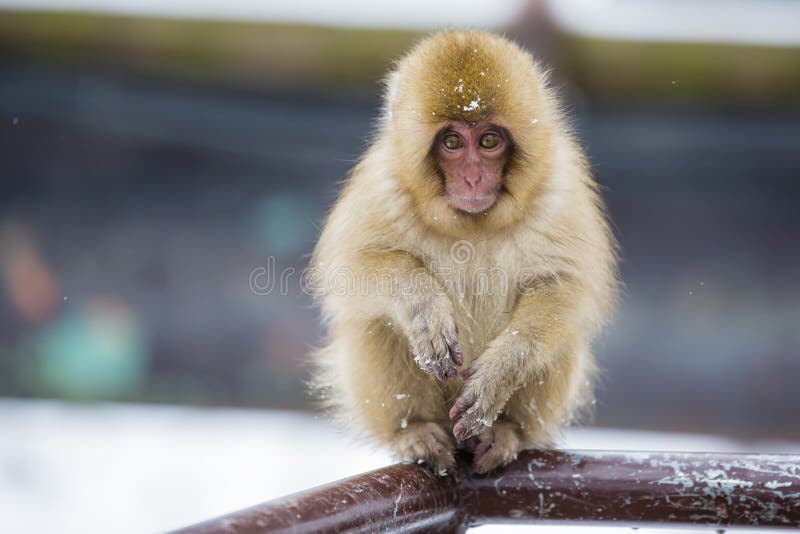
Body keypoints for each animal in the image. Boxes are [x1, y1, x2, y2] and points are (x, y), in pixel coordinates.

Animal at [308, 30, 617, 475]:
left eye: (489, 141)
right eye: (452, 142)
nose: (472, 178)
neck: (474, 222)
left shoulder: (560, 190)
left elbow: (565, 285)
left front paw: (503, 368)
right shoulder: (385, 185)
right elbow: (353, 267)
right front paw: (424, 306)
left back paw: (506, 432)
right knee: (377, 323)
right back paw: (415, 431)